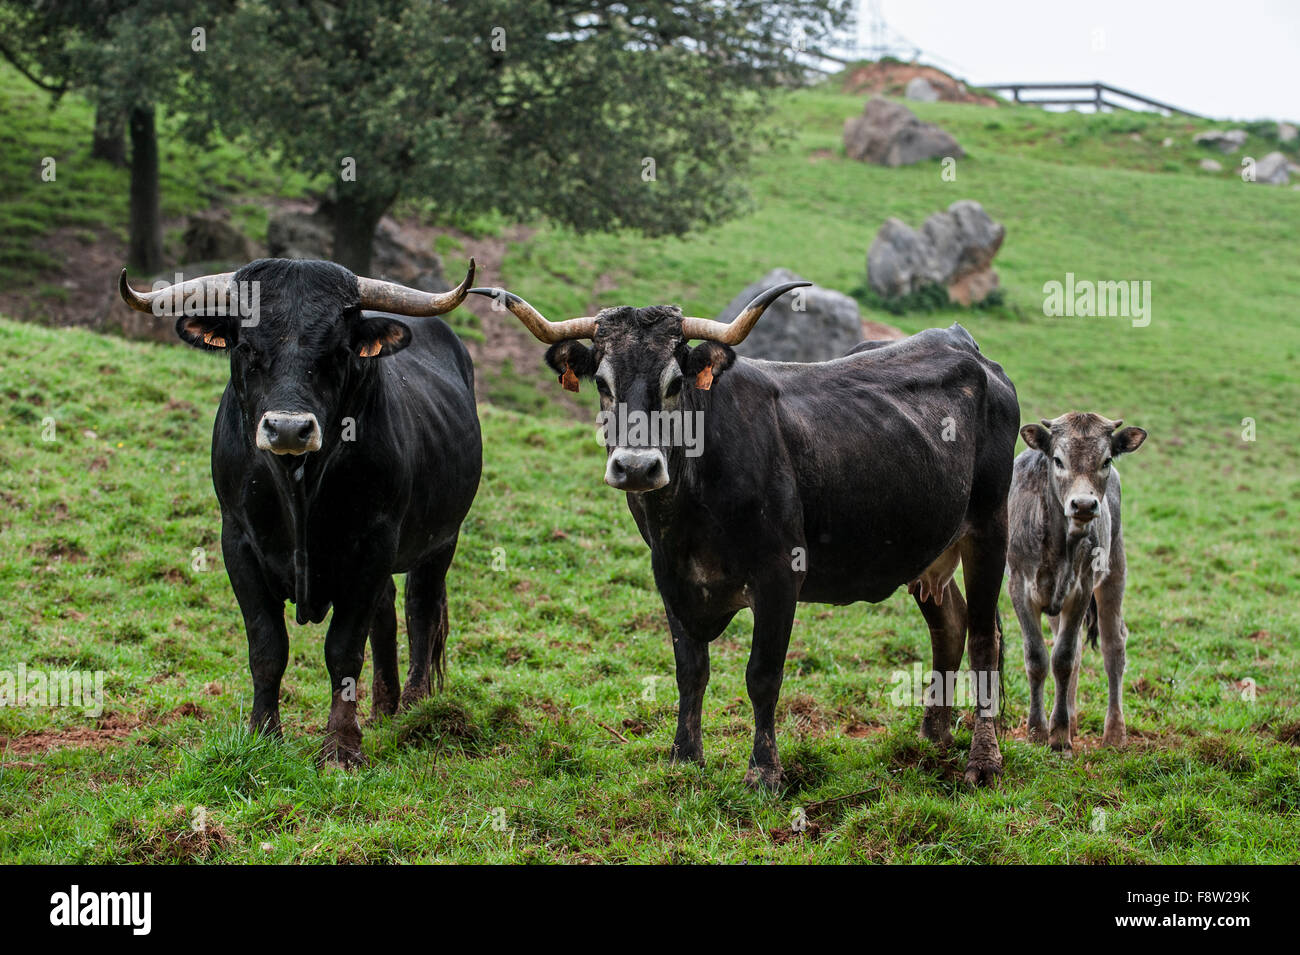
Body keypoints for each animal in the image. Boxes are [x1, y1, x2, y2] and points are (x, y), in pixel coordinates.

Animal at [119, 258, 483, 765]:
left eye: (337, 351)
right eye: (247, 347)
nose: (288, 428)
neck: (299, 482)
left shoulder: (374, 544)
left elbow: (344, 650)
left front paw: (341, 746)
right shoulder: (238, 542)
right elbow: (267, 646)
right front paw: (263, 734)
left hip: (440, 541)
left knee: (420, 611)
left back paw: (412, 707)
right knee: (387, 613)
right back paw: (384, 707)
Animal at [469, 281, 1020, 788]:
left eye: (674, 383)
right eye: (602, 383)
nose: (637, 467)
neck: (689, 510)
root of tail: (962, 344)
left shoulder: (779, 577)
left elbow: (762, 675)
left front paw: (764, 771)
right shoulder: (670, 576)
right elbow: (690, 671)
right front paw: (684, 758)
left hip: (990, 528)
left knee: (983, 638)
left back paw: (983, 760)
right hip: (927, 547)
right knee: (949, 624)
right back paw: (933, 735)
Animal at [1008, 412, 1147, 751]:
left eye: (1106, 459)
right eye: (1058, 460)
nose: (1083, 505)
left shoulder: (1082, 589)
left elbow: (1063, 658)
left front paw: (1059, 736)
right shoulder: (1019, 587)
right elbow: (1038, 657)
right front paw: (1038, 730)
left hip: (1115, 569)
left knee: (1113, 646)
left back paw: (1114, 733)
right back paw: (1070, 719)